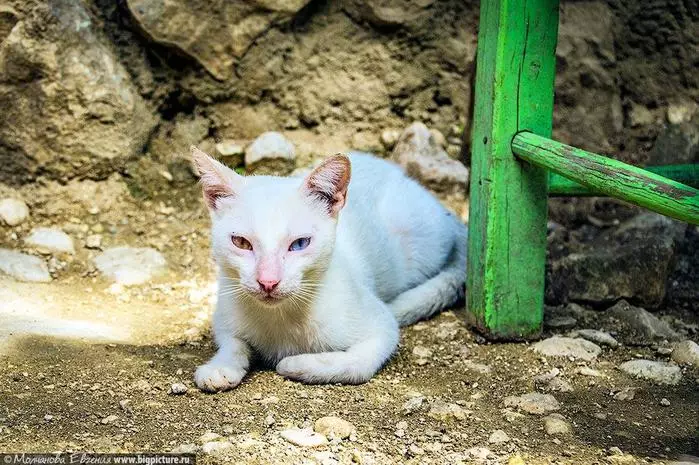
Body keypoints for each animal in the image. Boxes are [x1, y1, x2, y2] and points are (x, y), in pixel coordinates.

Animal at [191, 146, 468, 392]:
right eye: (241, 242)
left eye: (300, 244)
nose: (268, 281)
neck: (280, 316)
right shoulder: (223, 315)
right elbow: (233, 342)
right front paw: (221, 367)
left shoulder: (382, 327)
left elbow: (357, 364)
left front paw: (298, 364)